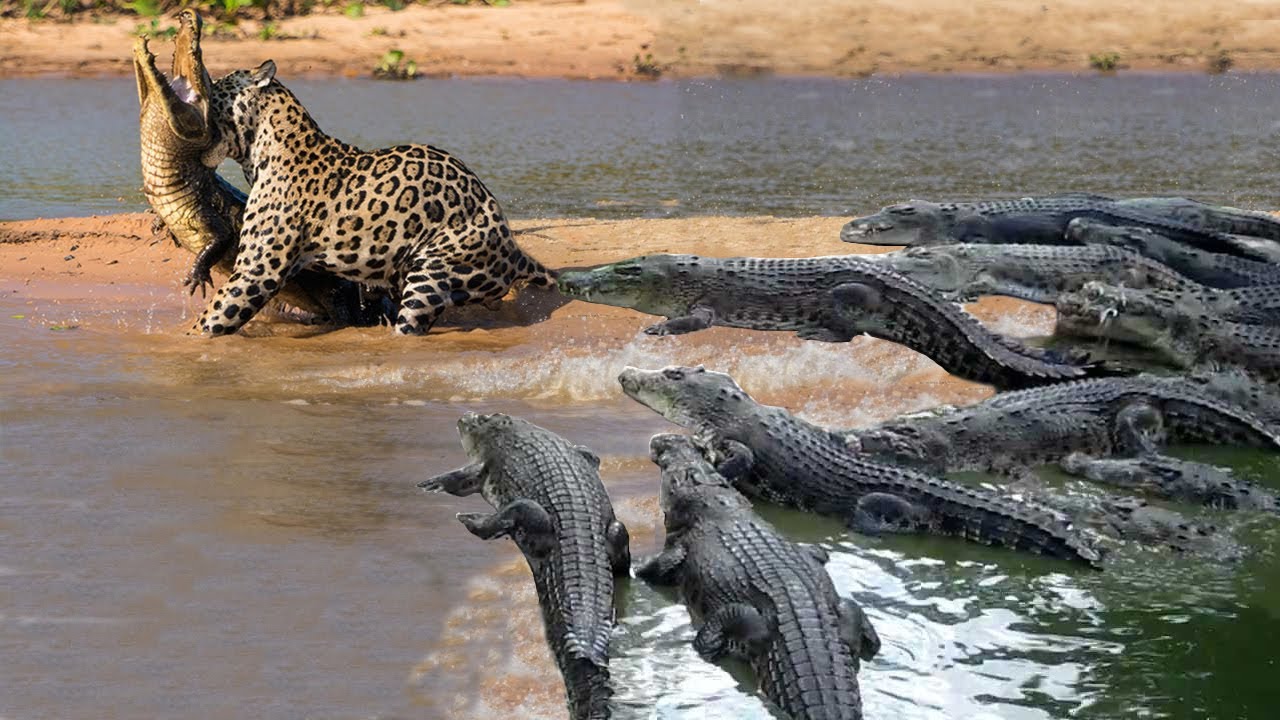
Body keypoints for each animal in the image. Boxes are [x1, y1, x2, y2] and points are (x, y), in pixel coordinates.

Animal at [195, 59, 555, 336]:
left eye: (214, 90)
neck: (263, 149)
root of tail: (512, 249)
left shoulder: (257, 270)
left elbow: (216, 315)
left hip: (432, 276)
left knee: (410, 326)